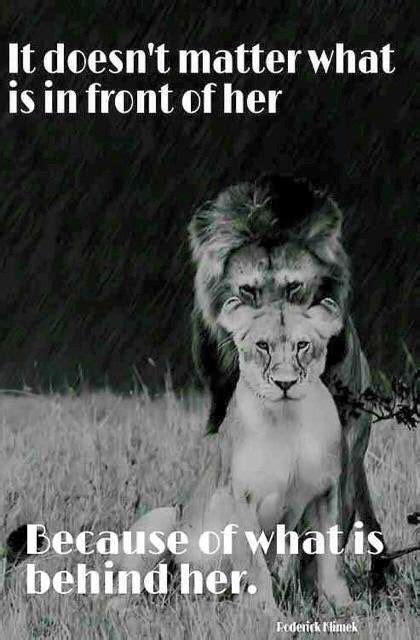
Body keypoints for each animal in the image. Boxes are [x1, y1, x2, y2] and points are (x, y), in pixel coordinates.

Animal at [111, 300, 352, 609]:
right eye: (263, 345)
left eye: (302, 345)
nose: (284, 383)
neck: (287, 418)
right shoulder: (239, 496)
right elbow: (254, 563)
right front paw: (264, 612)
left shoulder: (325, 492)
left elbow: (331, 557)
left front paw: (343, 606)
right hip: (163, 518)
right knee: (122, 590)